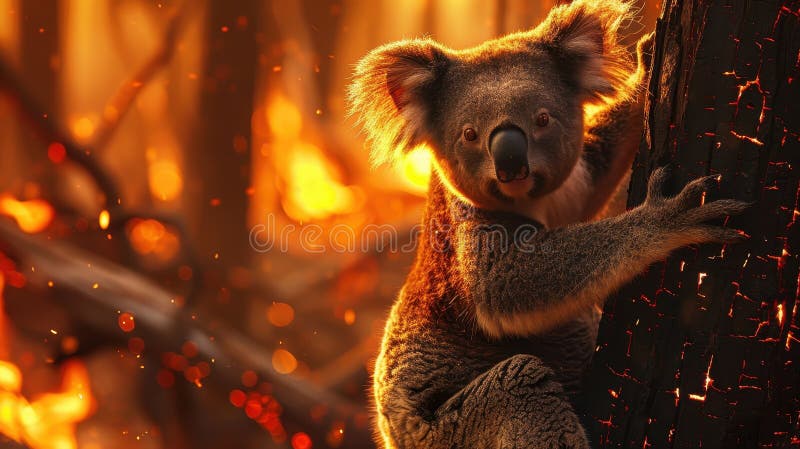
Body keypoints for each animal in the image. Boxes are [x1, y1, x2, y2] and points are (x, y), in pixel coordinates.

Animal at [348, 1, 749, 448]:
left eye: (542, 120)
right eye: (469, 134)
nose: (510, 163)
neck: (532, 201)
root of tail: (392, 434)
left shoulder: (572, 189)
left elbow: (598, 164)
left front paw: (647, 65)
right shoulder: (467, 227)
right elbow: (503, 284)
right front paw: (669, 217)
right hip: (453, 428)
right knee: (522, 384)